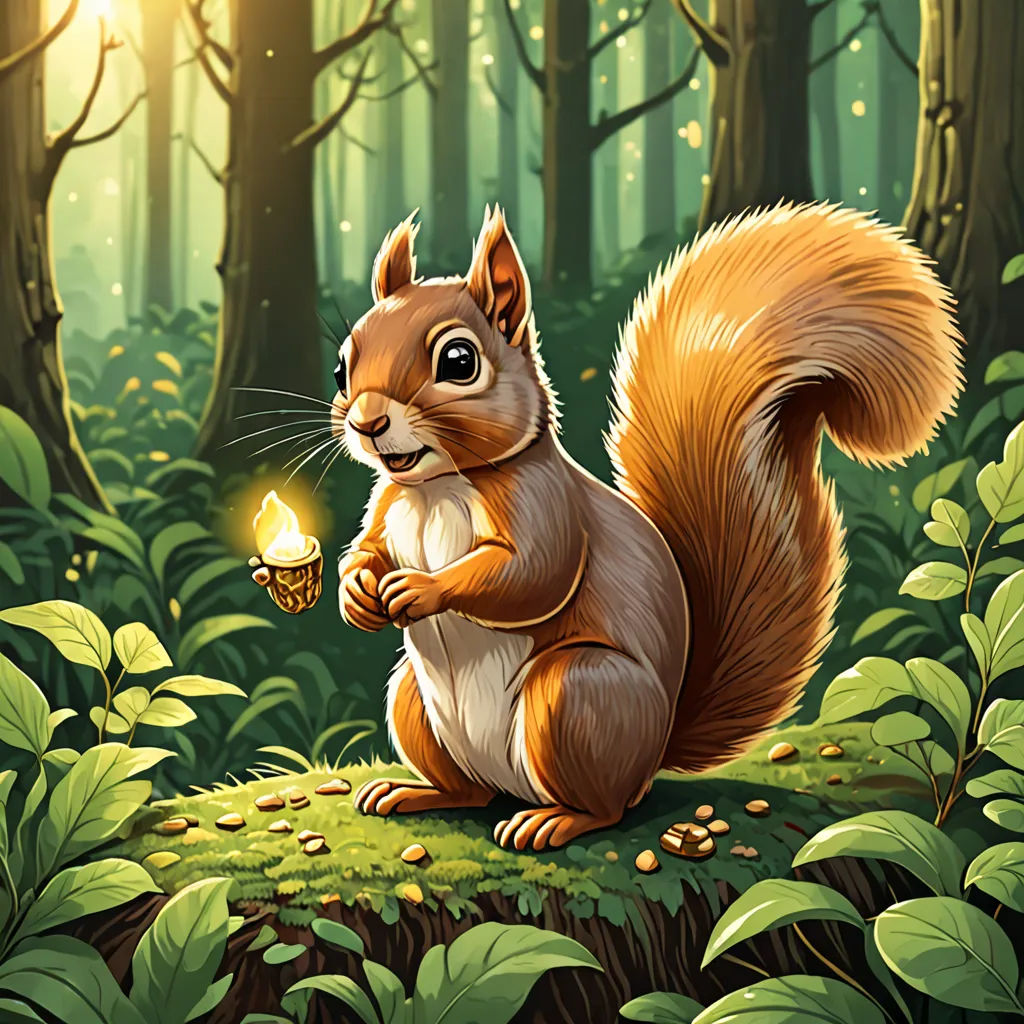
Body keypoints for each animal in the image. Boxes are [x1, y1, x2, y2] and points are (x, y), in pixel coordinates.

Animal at [333, 202, 963, 851]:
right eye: (342, 365)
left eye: (459, 362)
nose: (367, 422)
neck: (436, 487)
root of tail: (654, 754)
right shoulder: (386, 507)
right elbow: (366, 550)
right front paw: (356, 592)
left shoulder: (547, 507)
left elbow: (530, 575)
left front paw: (420, 588)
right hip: (415, 700)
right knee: (470, 791)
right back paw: (415, 791)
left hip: (577, 696)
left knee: (604, 806)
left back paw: (554, 819)